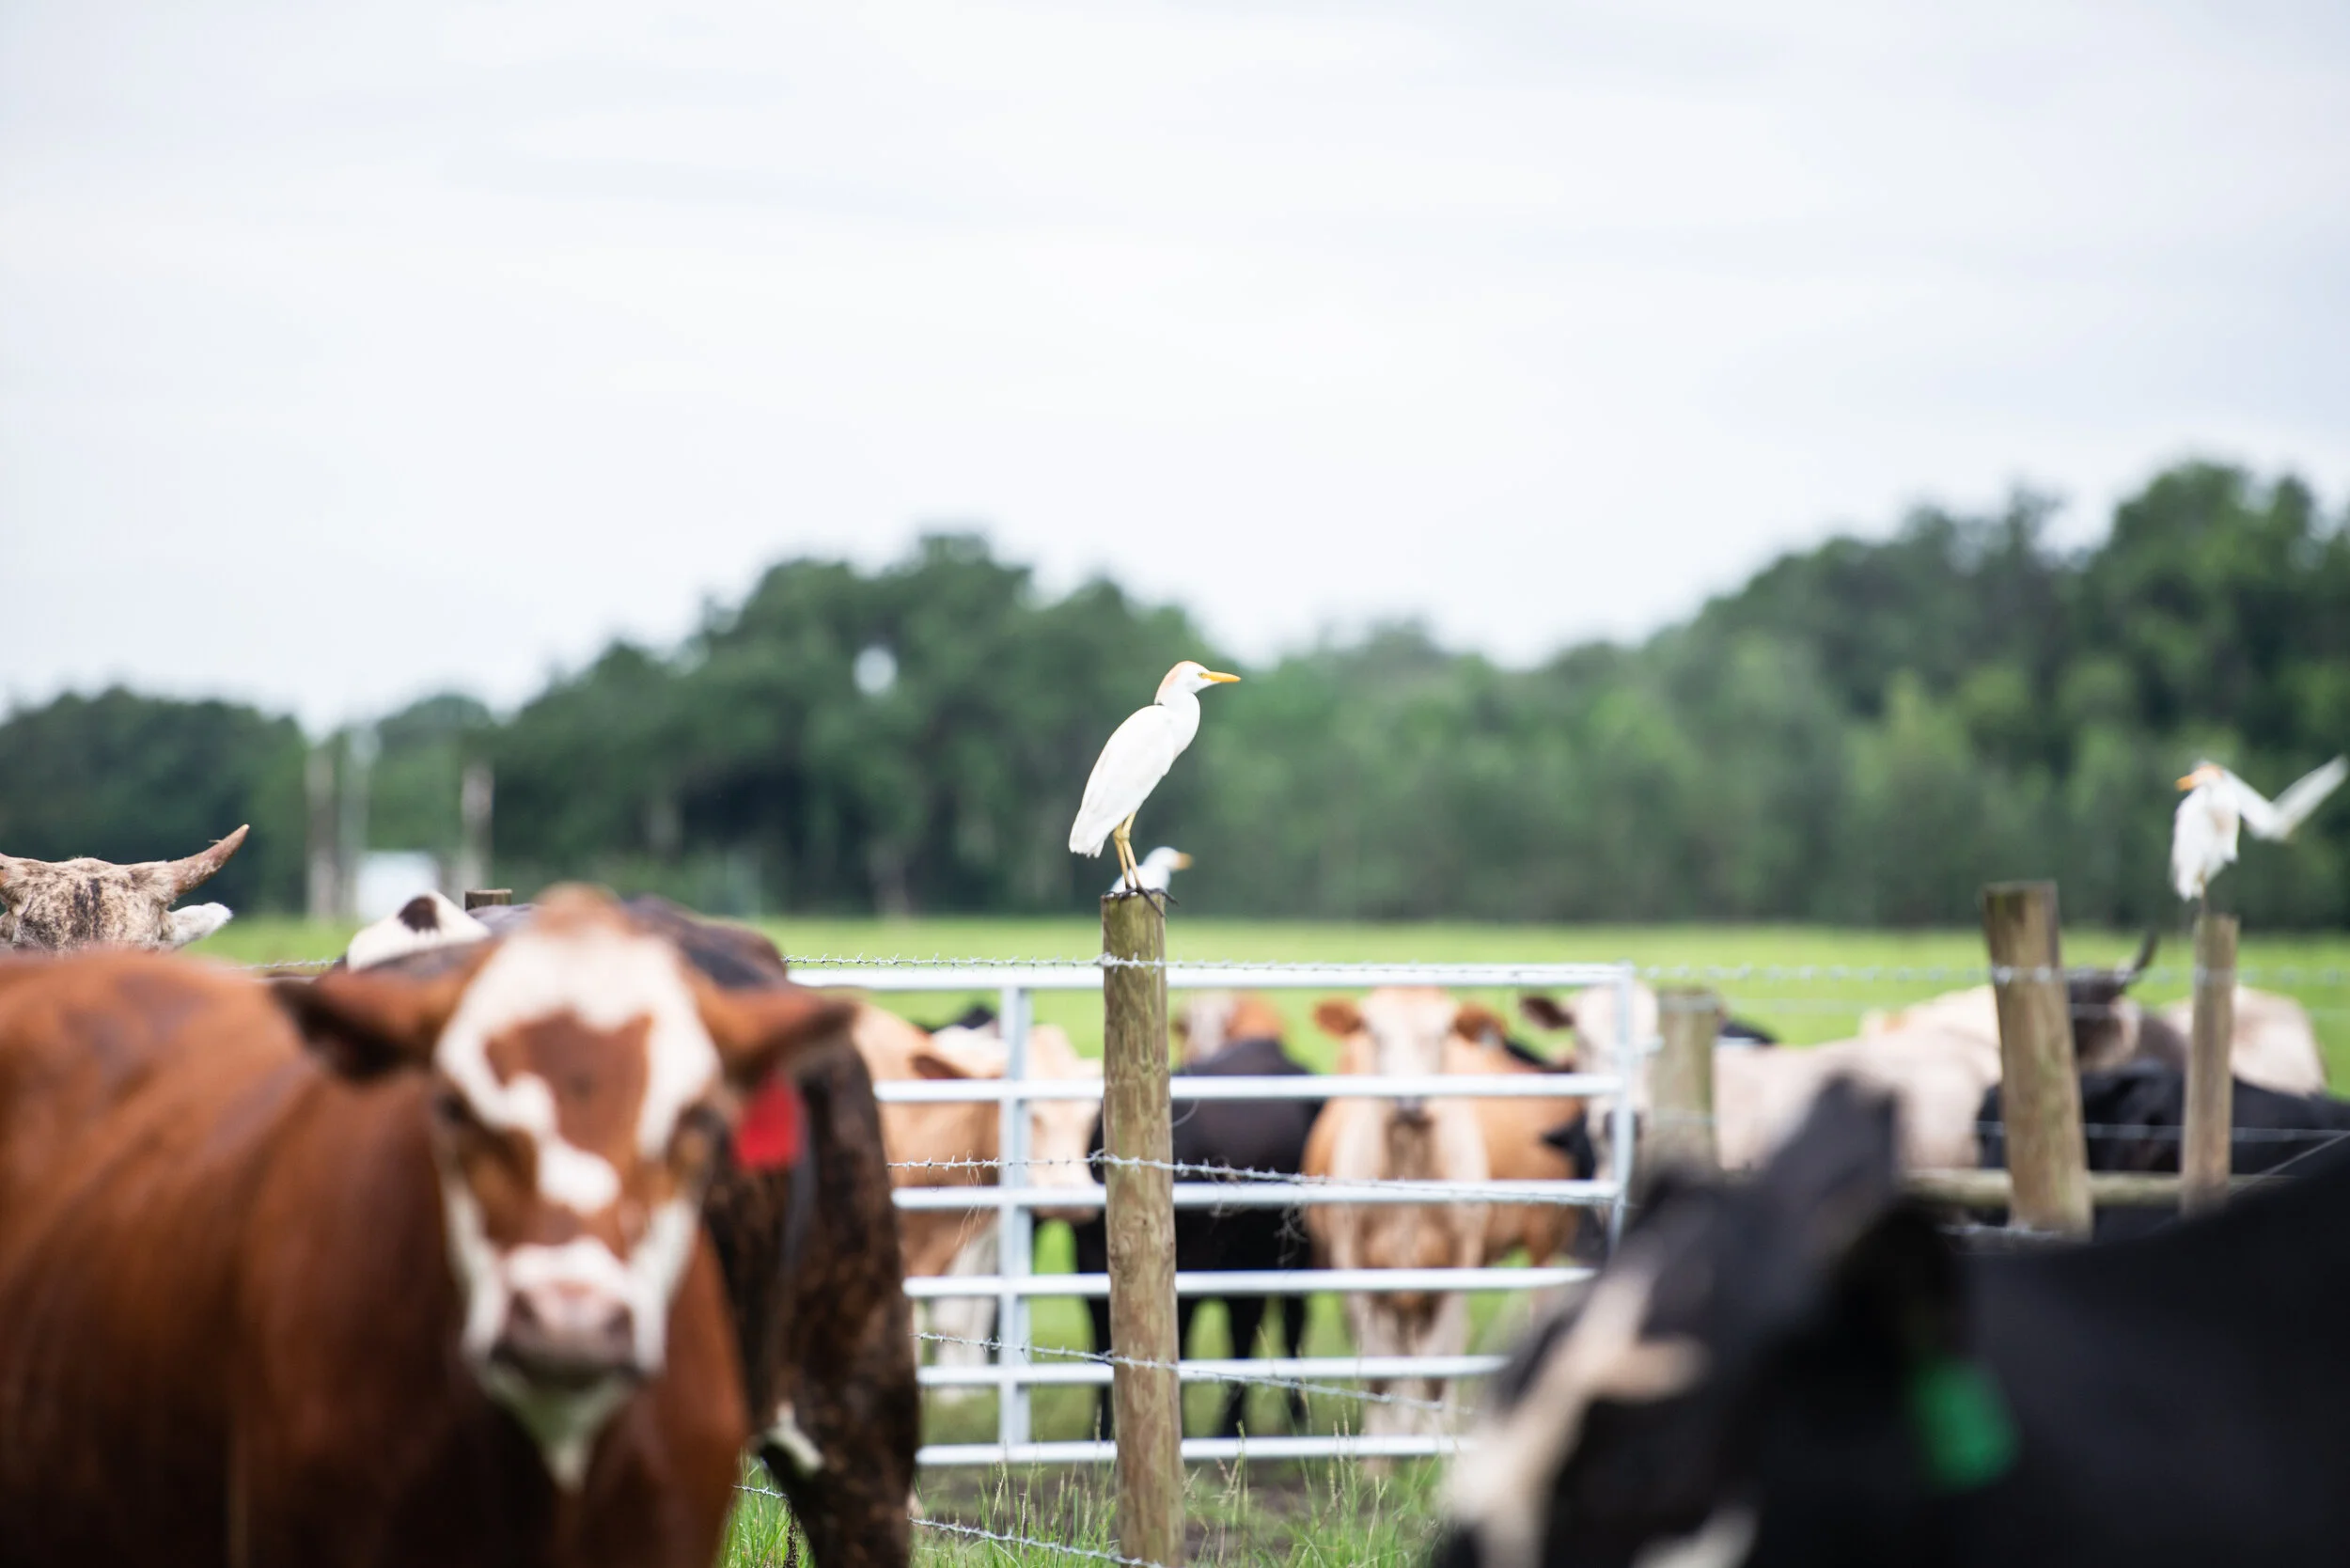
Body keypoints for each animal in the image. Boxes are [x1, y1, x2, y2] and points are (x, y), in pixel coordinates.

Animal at [1074, 1024, 1322, 1438]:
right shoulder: (1090, 1273)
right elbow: (1102, 1349)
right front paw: (1107, 1428)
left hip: (1289, 1255)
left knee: (1285, 1323)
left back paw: (1286, 1415)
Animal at [1302, 988, 1490, 1442]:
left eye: (1443, 1032)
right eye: (1375, 1031)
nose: (1409, 1102)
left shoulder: (1458, 1270)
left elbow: (1438, 1370)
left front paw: (1436, 1444)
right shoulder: (1356, 1271)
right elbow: (1380, 1372)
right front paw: (1381, 1451)